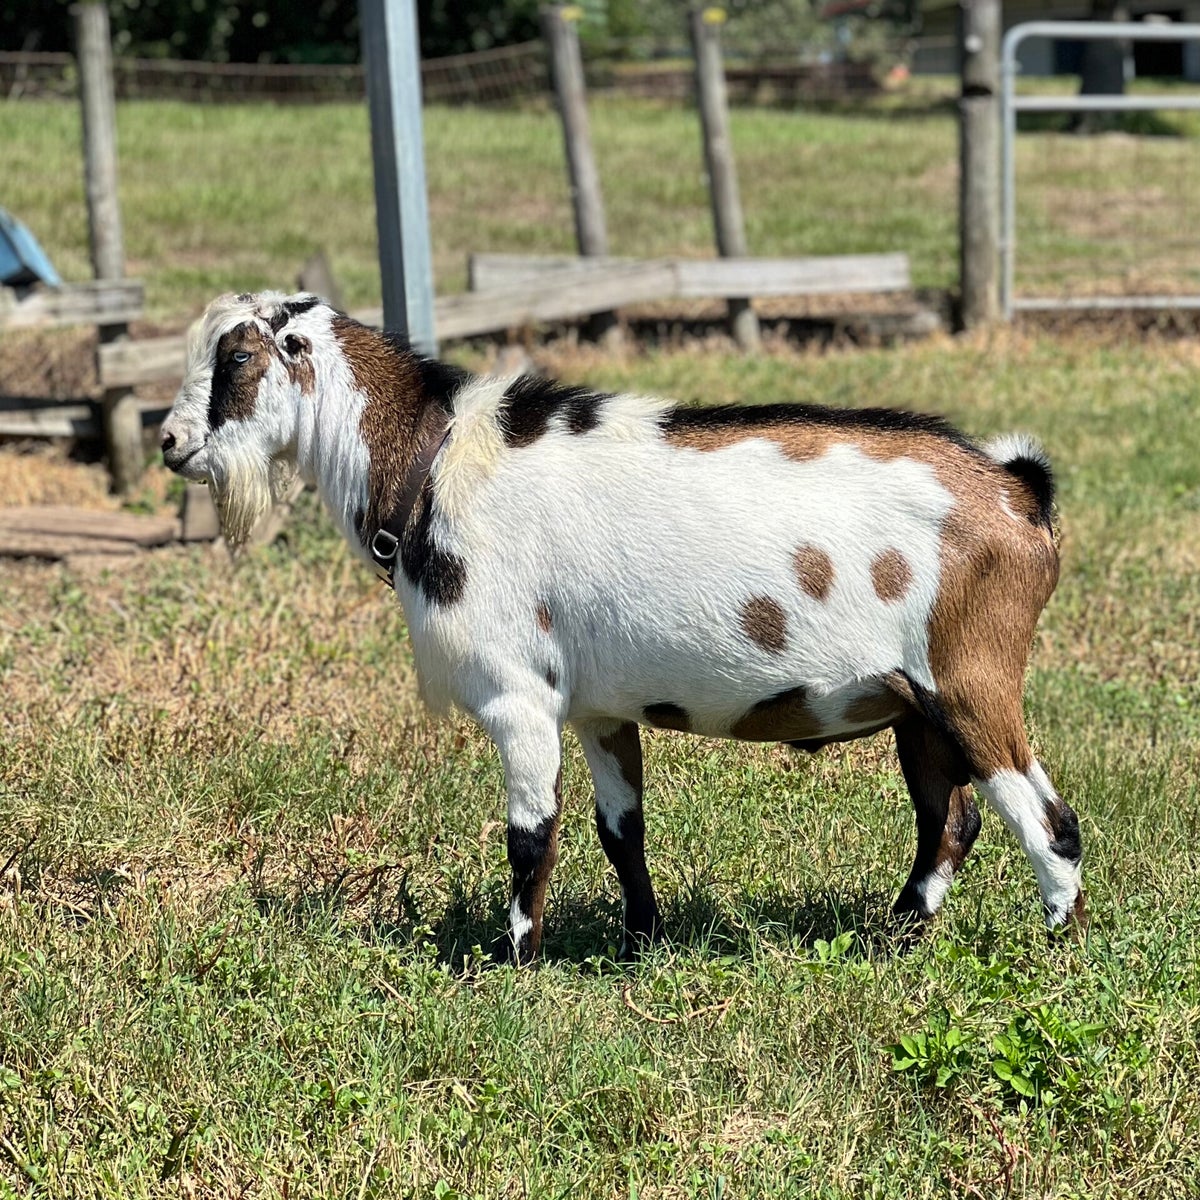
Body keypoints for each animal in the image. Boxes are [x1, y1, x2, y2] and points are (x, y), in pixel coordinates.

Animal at [160, 291, 1084, 964]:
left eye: (237, 358)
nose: (171, 442)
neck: (436, 462)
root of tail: (1016, 487)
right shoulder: (600, 709)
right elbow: (621, 831)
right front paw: (641, 943)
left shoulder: (519, 697)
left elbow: (531, 836)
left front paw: (514, 962)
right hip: (915, 703)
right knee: (949, 822)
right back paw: (895, 939)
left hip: (969, 680)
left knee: (1049, 820)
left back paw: (1057, 953)